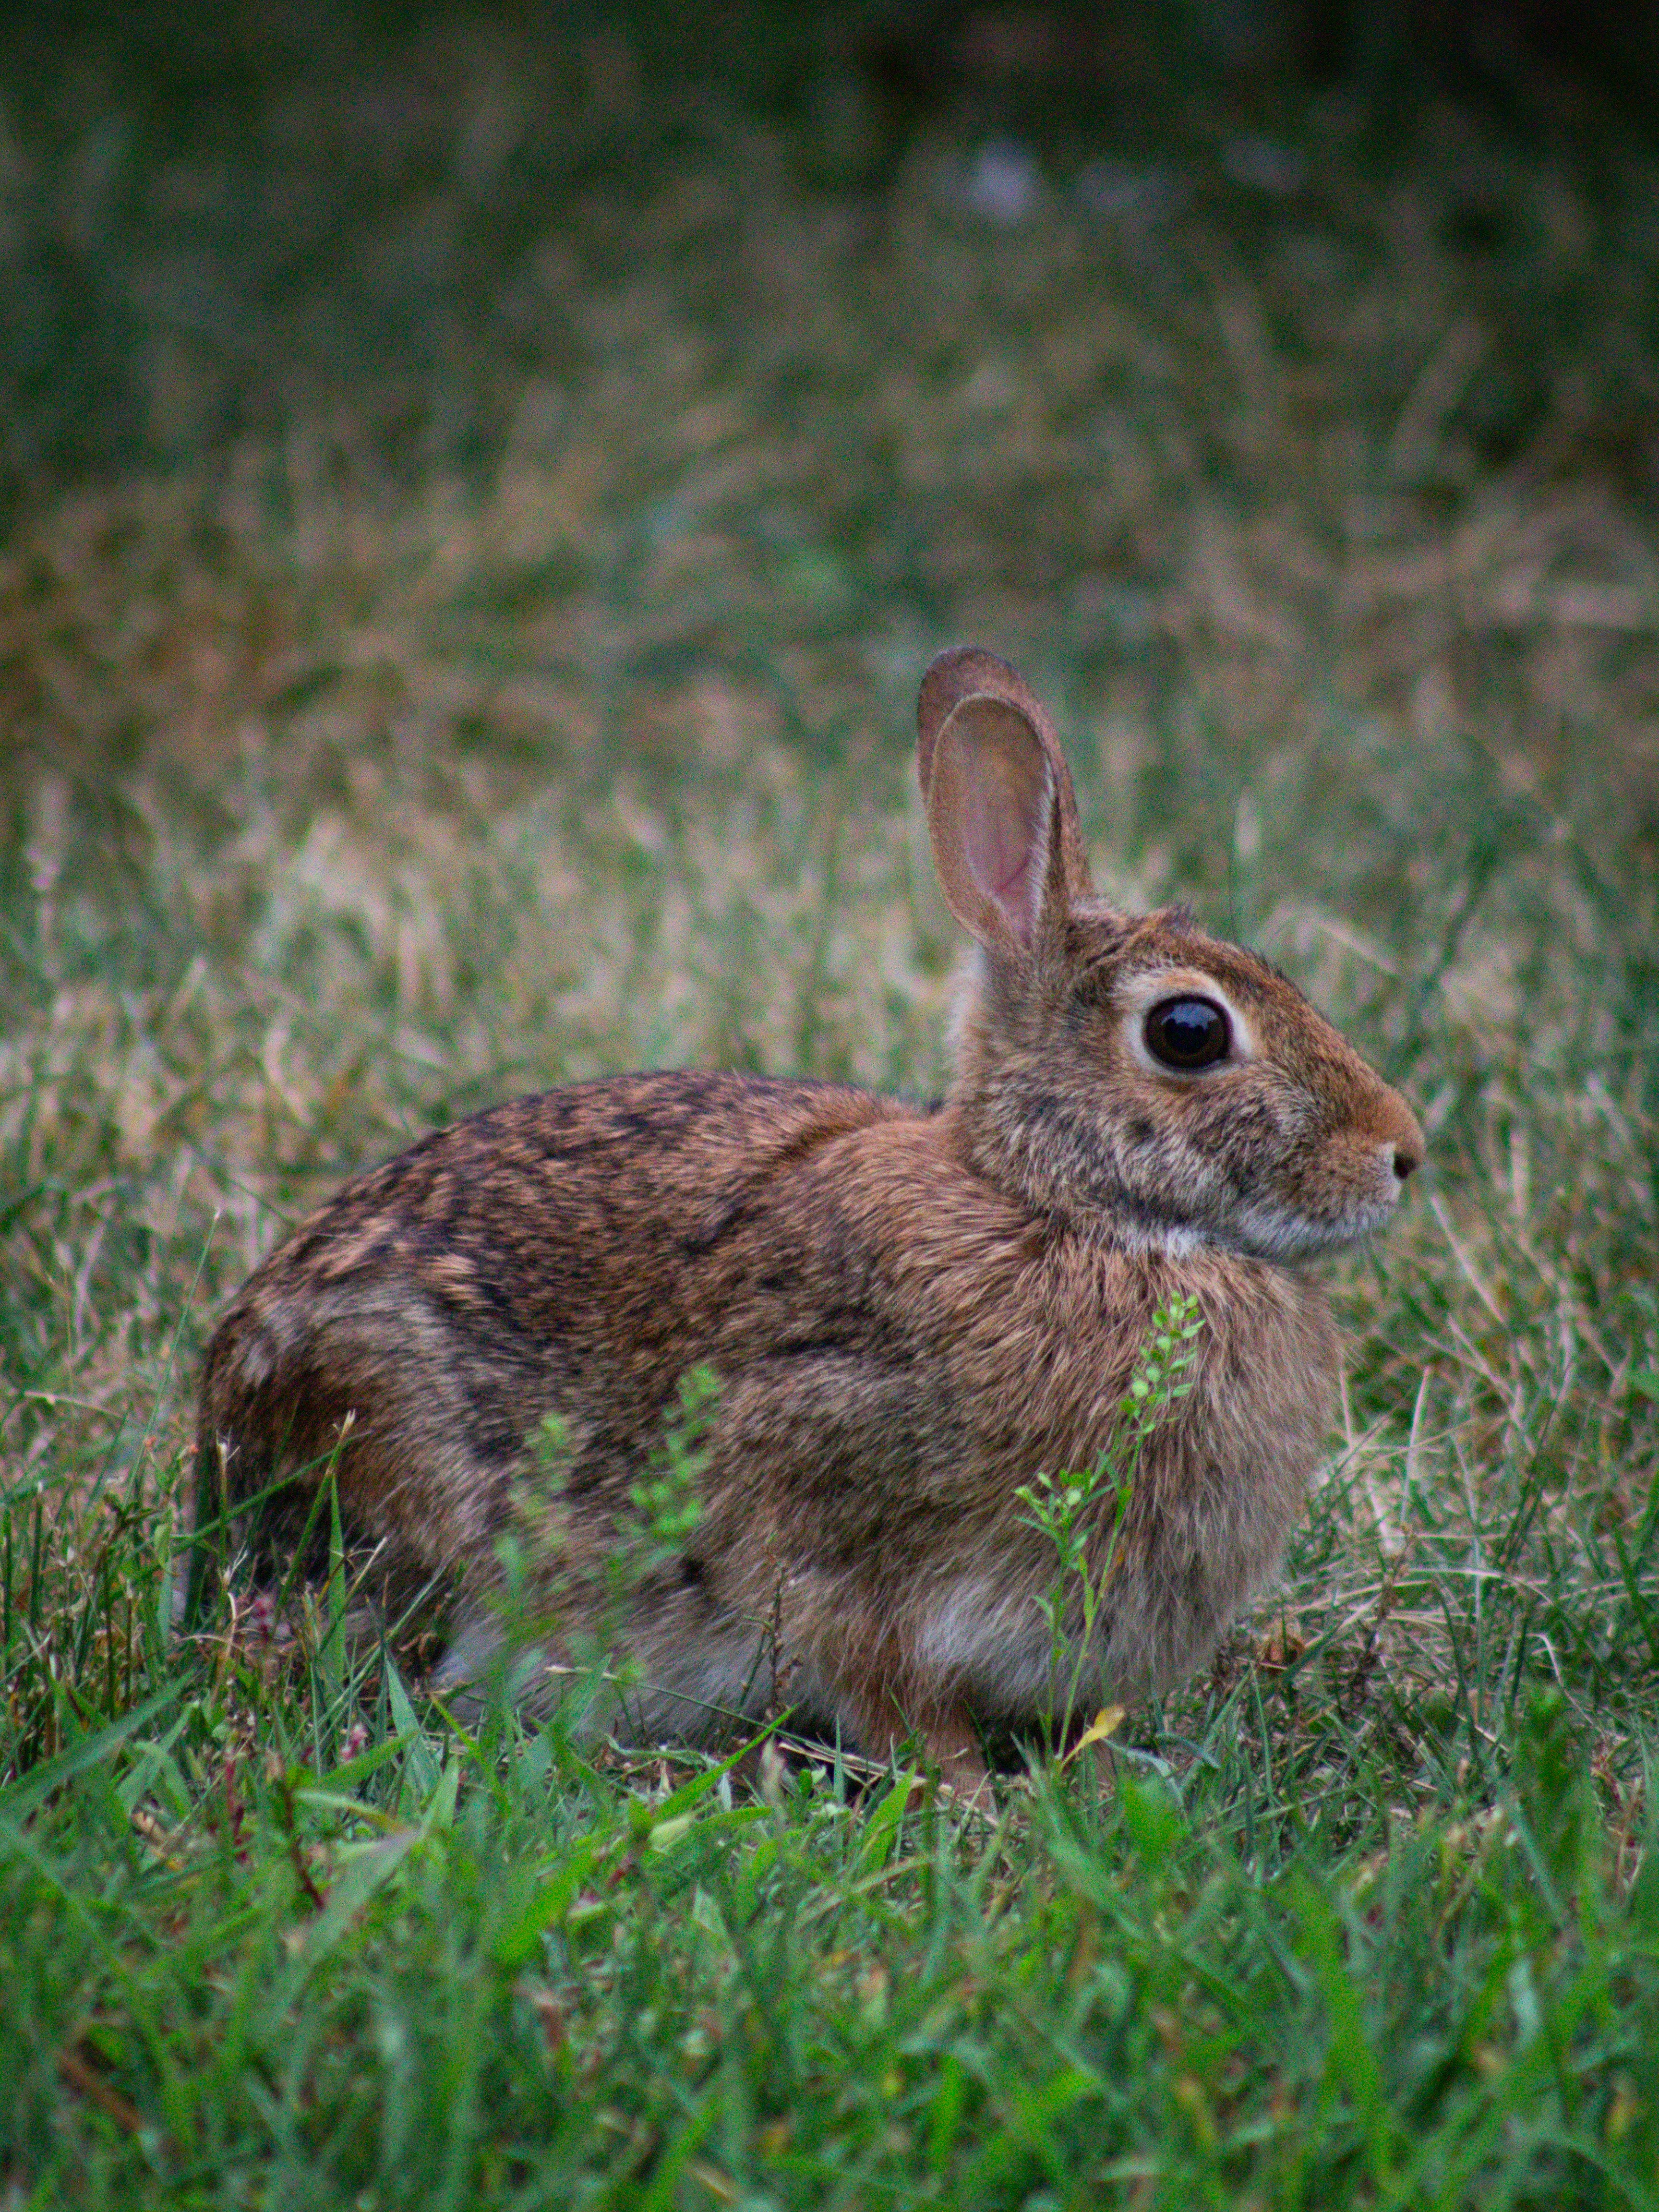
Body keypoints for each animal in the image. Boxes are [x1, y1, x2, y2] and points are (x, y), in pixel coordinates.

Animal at [192, 646, 1424, 1802]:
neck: (1065, 1214)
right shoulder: (831, 1531)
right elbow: (891, 1697)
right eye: (1187, 1032)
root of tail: (226, 1405)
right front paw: (979, 1808)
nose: (1402, 1152)